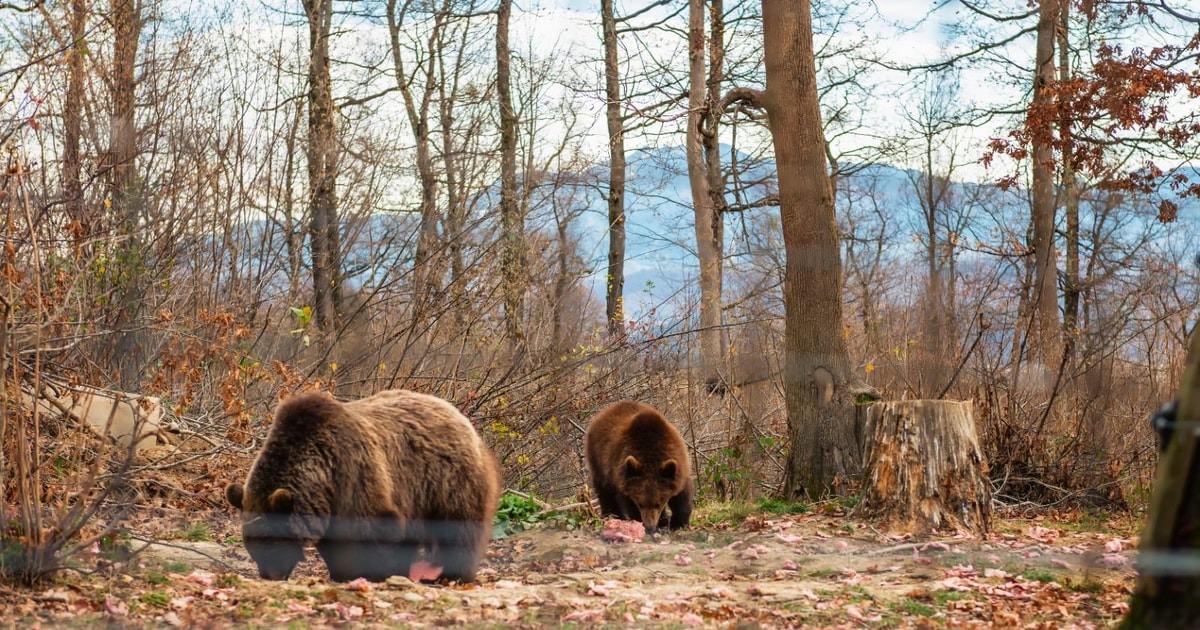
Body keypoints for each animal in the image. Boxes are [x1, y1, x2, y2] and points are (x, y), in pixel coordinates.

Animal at [225, 389, 501, 583]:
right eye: (253, 547)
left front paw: (374, 572)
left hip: (447, 480)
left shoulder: (355, 476)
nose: (272, 575)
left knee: (460, 528)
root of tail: (459, 415)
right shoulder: (330, 504)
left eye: (274, 543)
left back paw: (453, 575)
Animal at [584, 400, 693, 532]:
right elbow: (628, 502)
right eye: (640, 504)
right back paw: (612, 515)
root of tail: (605, 411)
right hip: (598, 458)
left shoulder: (678, 465)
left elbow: (682, 496)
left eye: (658, 503)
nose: (650, 525)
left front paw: (678, 523)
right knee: (604, 490)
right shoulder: (622, 476)